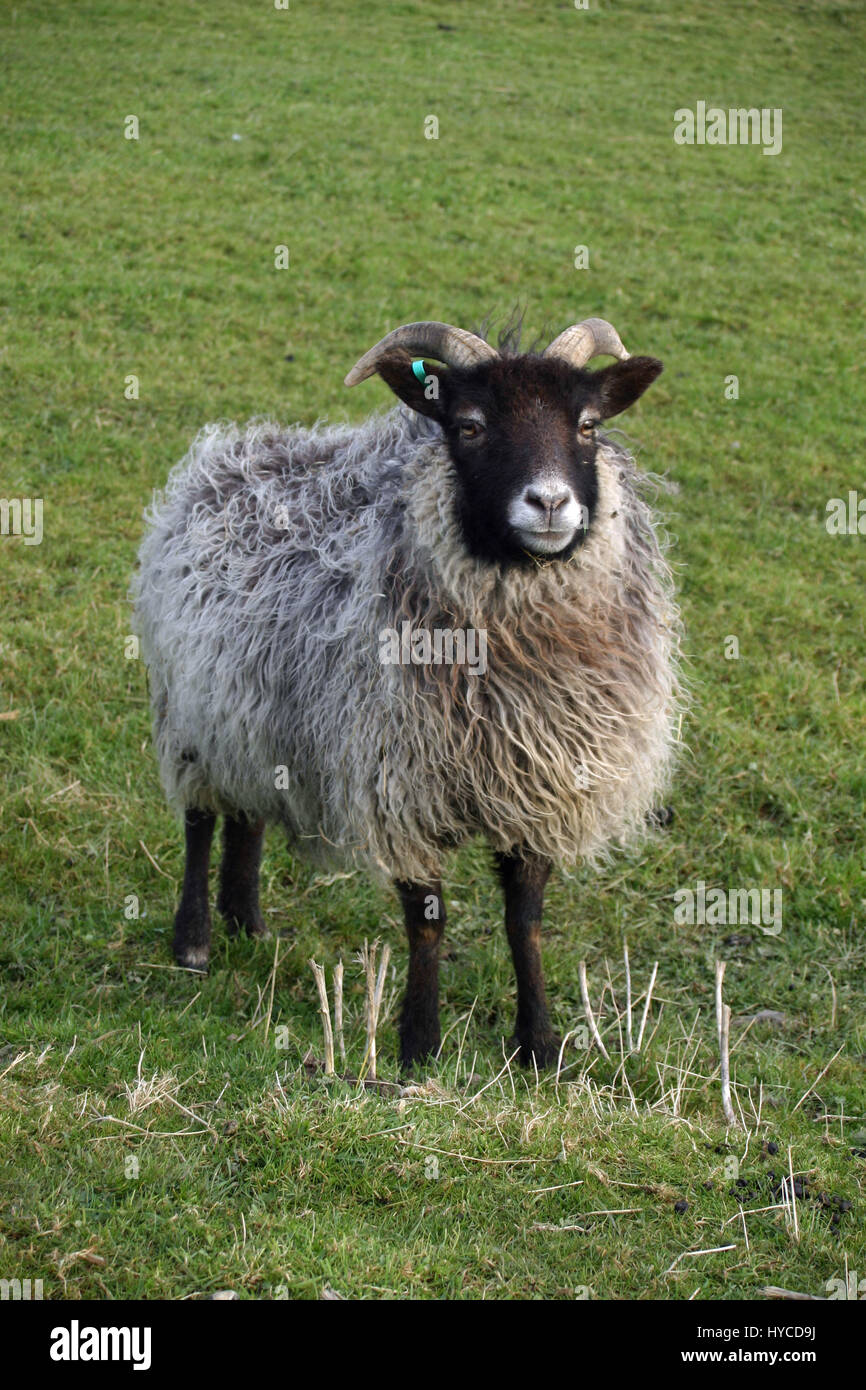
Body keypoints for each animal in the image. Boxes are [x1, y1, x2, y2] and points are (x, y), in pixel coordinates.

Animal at [133, 316, 682, 1069]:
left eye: (588, 425)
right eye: (470, 426)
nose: (549, 504)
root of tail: (226, 450)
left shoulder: (541, 782)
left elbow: (525, 922)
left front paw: (539, 1045)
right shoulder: (402, 784)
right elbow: (428, 922)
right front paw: (418, 1043)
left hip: (252, 715)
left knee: (248, 817)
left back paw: (248, 924)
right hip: (191, 712)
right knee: (200, 820)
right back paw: (193, 943)